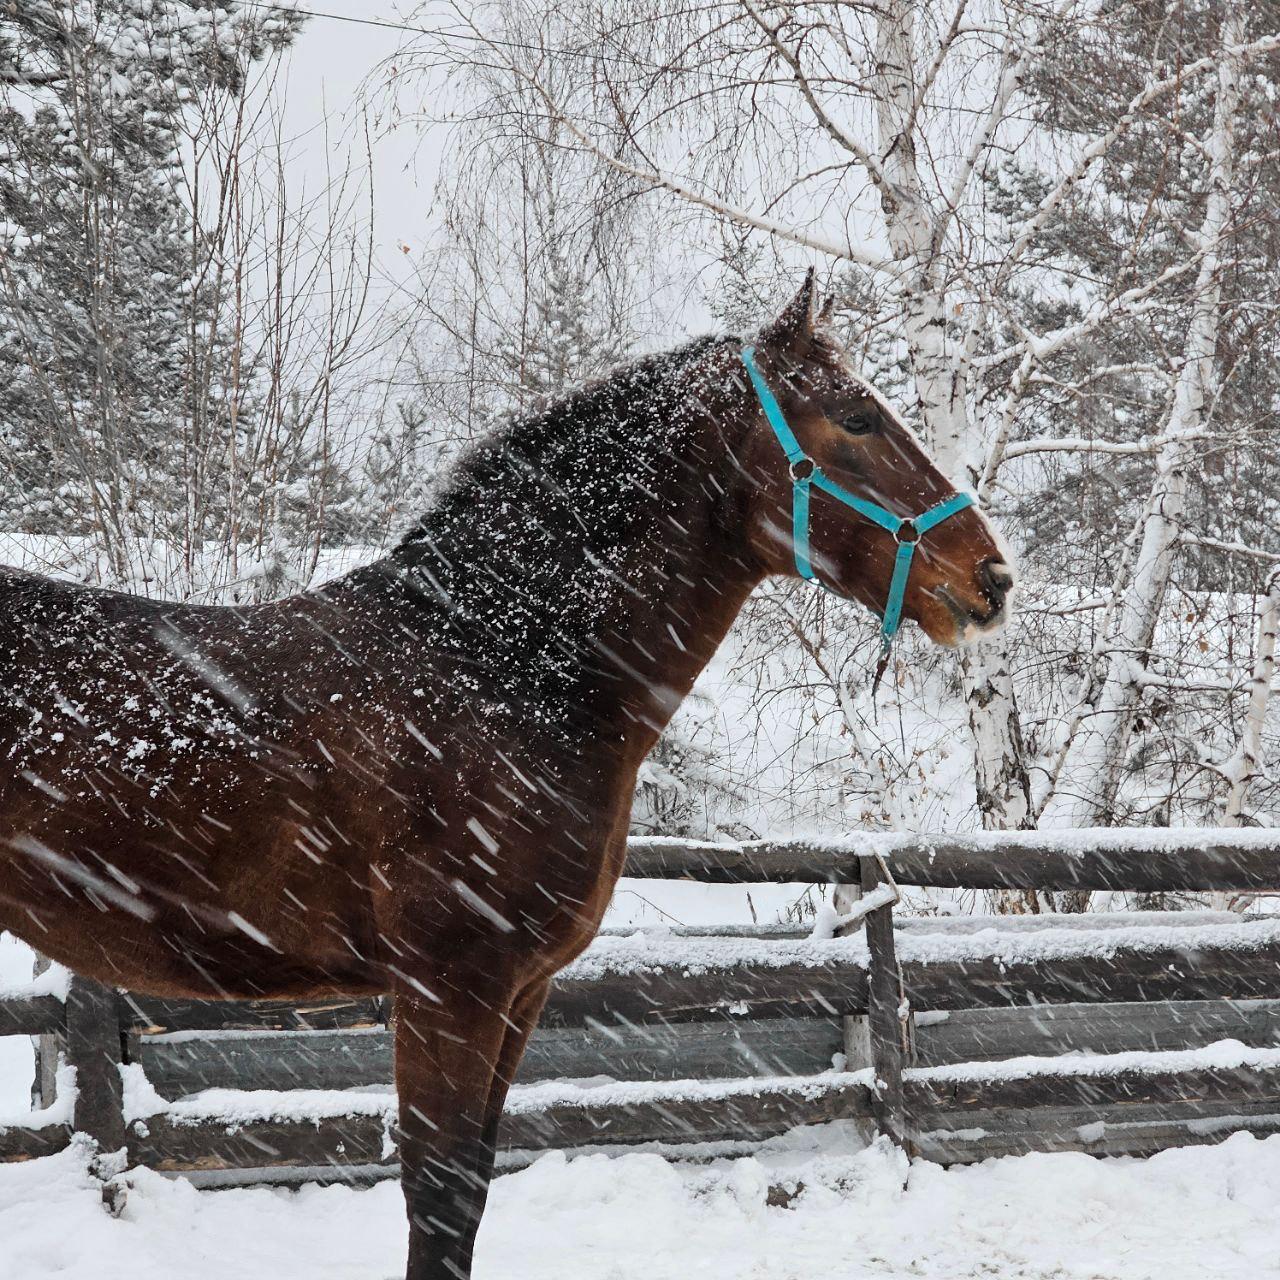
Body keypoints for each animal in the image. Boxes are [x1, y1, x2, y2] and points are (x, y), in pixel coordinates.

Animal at [0, 275, 1008, 1274]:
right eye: (856, 418)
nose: (990, 577)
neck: (494, 669)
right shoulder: (452, 988)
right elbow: (440, 1201)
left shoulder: (521, 993)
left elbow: (473, 1189)